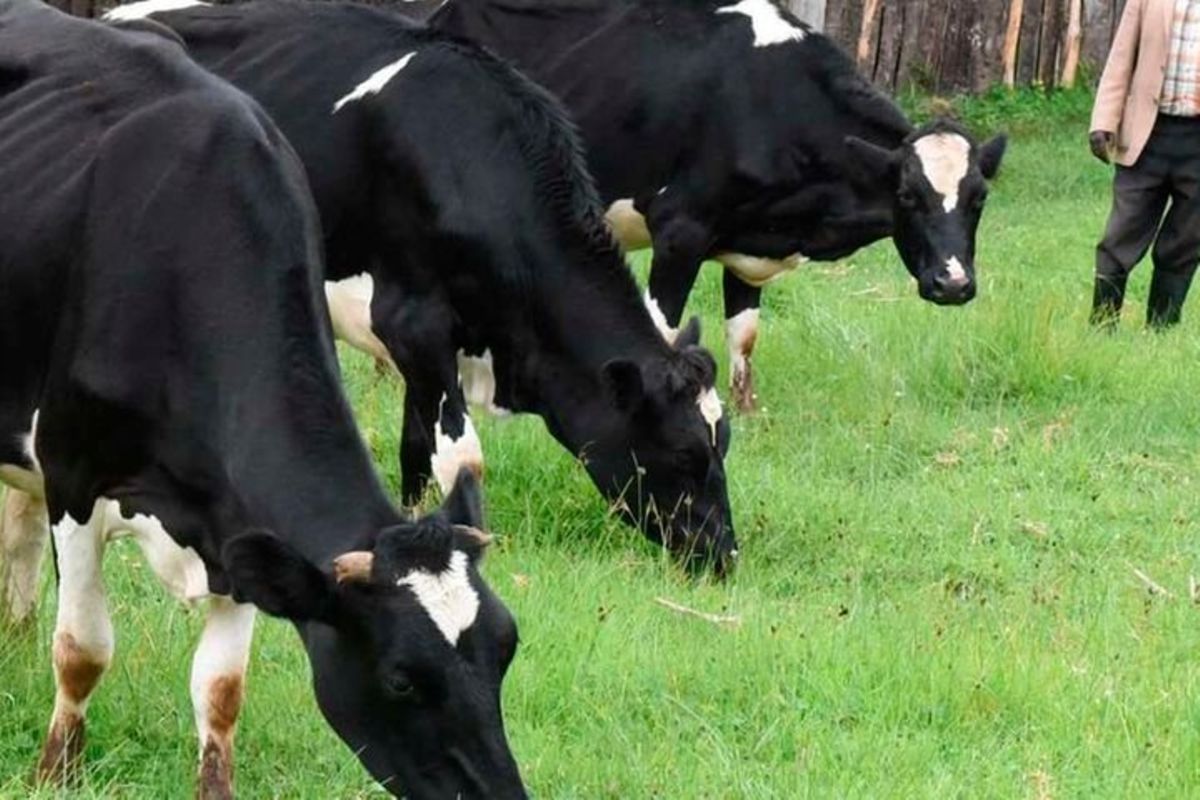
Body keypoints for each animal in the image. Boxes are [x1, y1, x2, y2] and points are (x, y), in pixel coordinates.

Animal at [0, 3, 525, 797]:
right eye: (402, 679)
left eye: (507, 646)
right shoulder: (74, 475)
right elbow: (83, 649)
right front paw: (54, 770)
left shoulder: (237, 529)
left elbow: (221, 691)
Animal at [109, 0, 738, 575]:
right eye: (683, 453)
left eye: (724, 441)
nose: (724, 556)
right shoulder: (414, 322)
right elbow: (462, 456)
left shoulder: (427, 345)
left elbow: (415, 443)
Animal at [428, 0, 1008, 412]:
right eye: (907, 196)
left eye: (979, 197)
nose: (953, 284)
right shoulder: (678, 230)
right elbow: (660, 329)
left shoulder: (751, 245)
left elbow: (745, 334)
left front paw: (748, 410)